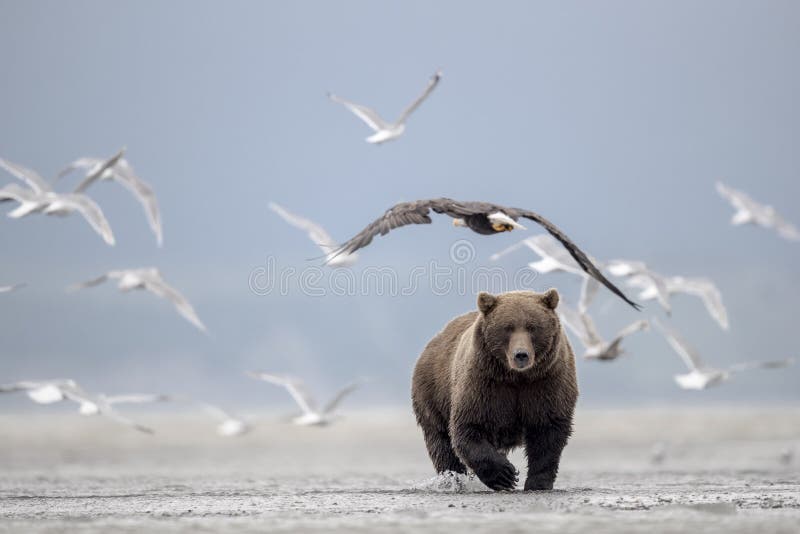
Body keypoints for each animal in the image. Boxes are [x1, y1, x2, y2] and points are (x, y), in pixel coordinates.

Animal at [411, 289, 578, 491]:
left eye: (532, 327)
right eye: (508, 327)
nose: (521, 355)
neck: (516, 377)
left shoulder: (546, 382)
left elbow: (548, 431)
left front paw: (537, 483)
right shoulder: (484, 384)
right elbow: (469, 426)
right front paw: (504, 475)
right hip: (433, 393)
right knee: (441, 442)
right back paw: (452, 479)